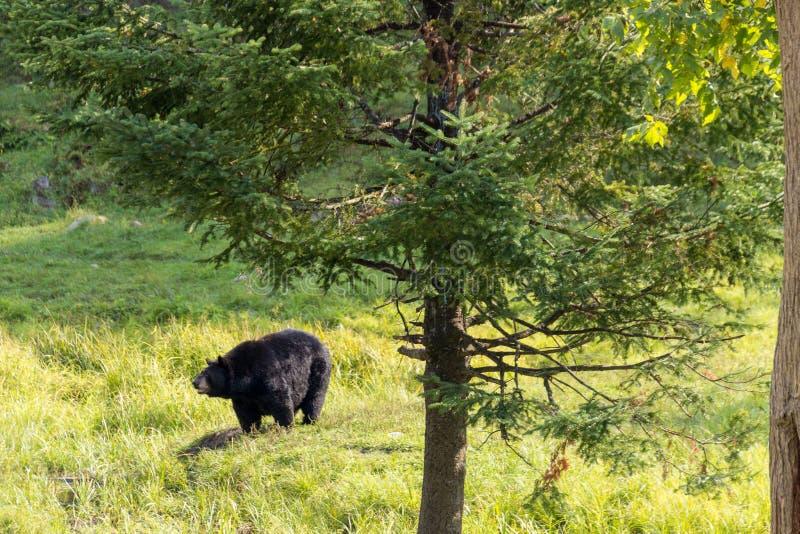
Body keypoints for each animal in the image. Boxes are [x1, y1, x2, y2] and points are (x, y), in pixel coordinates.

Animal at [192, 328, 331, 432]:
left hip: (317, 368)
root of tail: (321, 343)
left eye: (206, 374)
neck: (247, 382)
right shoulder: (243, 397)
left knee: (315, 397)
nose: (194, 382)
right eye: (202, 372)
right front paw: (250, 431)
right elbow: (246, 413)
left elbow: (281, 401)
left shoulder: (269, 375)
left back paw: (309, 420)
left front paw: (285, 426)